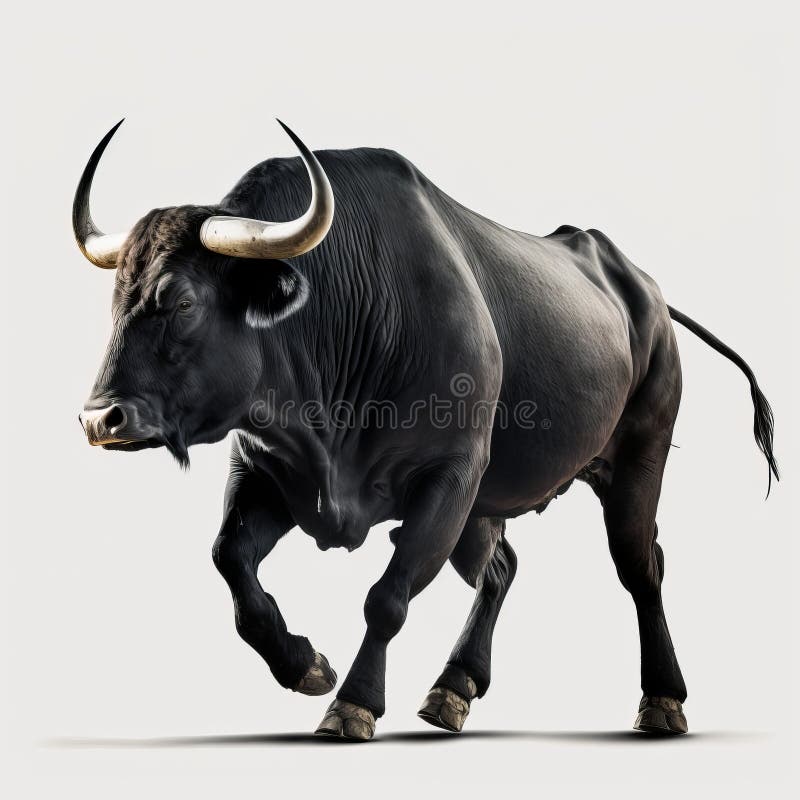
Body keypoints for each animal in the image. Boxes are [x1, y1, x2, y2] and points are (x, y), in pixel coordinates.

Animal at [74, 120, 778, 740]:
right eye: (117, 298)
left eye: (183, 300)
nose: (99, 418)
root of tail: (644, 291)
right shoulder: (269, 471)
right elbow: (230, 560)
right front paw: (304, 664)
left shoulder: (450, 479)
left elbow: (387, 597)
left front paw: (353, 703)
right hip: (492, 503)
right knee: (500, 568)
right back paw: (455, 684)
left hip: (639, 456)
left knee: (640, 566)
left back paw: (662, 699)